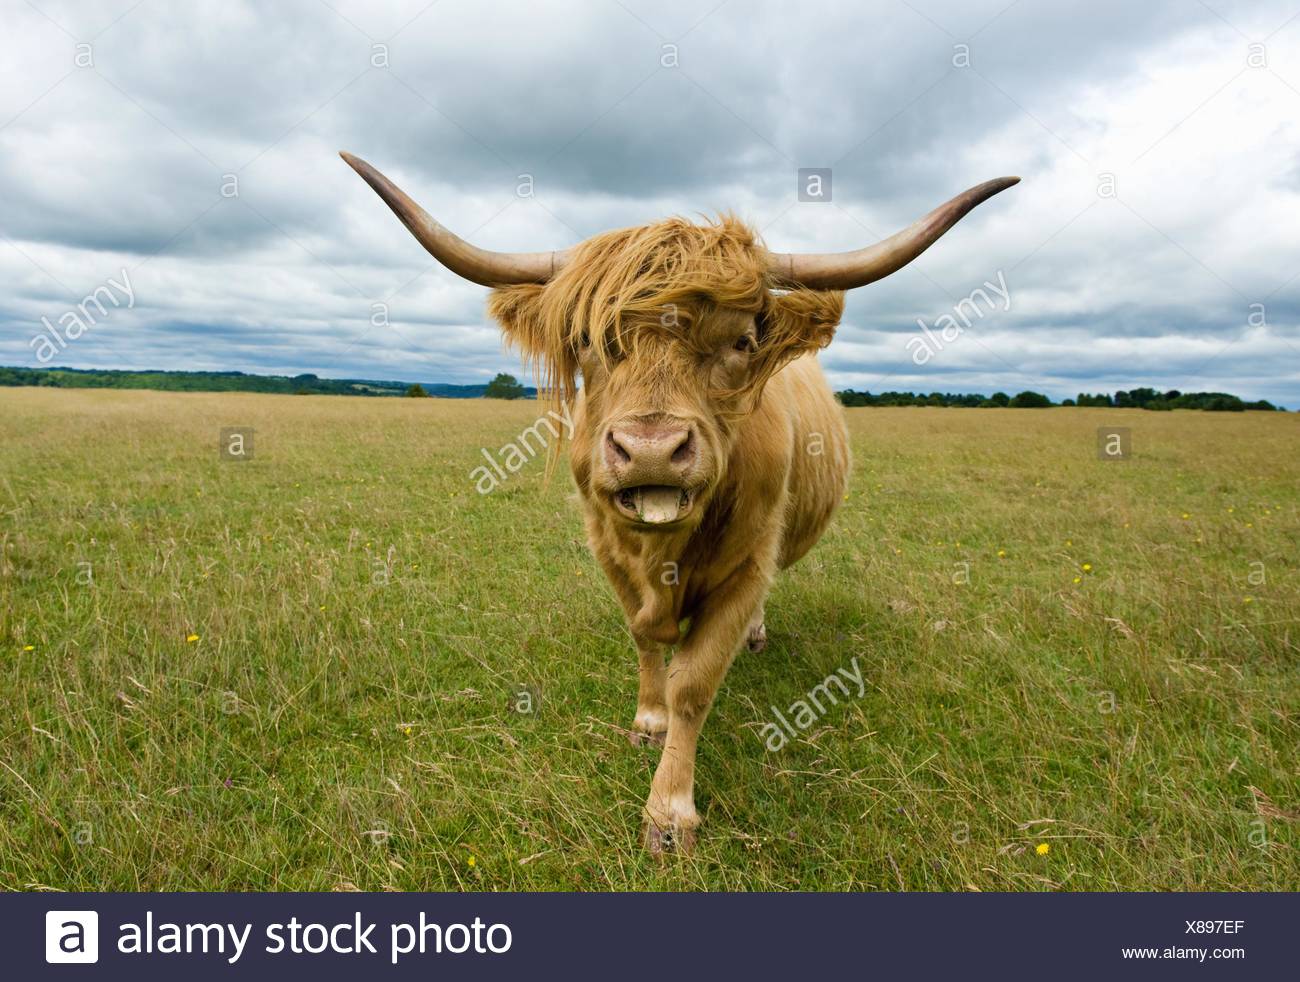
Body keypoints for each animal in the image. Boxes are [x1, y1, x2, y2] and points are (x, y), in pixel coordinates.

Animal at [341, 151, 1017, 852]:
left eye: (742, 342)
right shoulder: (607, 547)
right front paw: (649, 718)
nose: (651, 451)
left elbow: (694, 680)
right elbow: (645, 635)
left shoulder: (748, 563)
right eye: (588, 341)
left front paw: (669, 811)